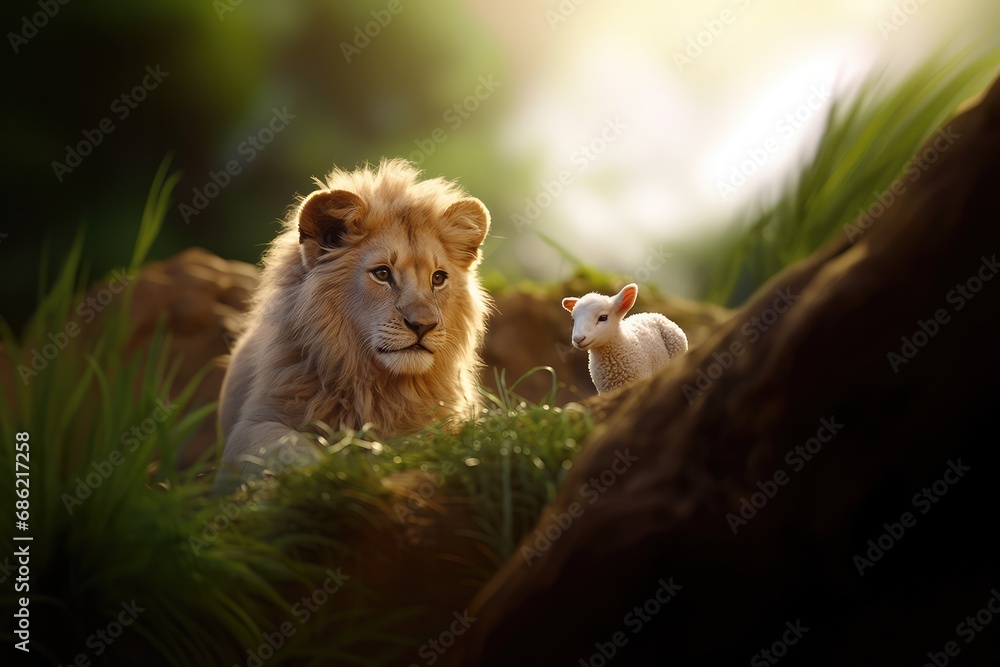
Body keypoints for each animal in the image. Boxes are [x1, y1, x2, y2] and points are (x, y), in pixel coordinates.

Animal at [215, 159, 491, 487]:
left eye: (438, 278)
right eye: (382, 274)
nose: (423, 325)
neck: (377, 385)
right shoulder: (254, 423)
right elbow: (285, 444)